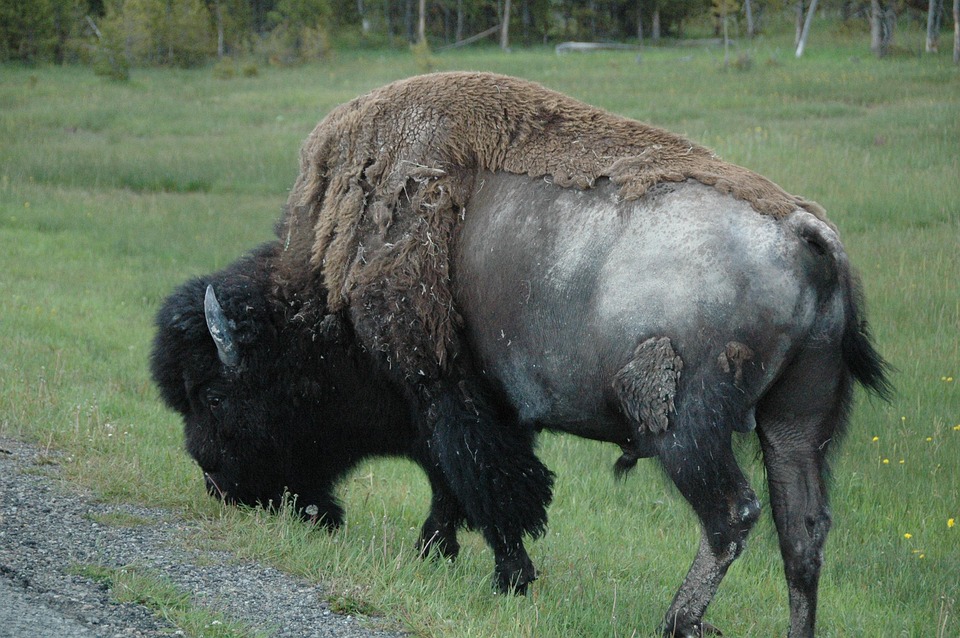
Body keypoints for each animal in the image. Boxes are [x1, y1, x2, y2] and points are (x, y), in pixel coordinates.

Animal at [151, 73, 889, 637]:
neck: (334, 278)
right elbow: (459, 483)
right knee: (802, 533)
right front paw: (440, 555)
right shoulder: (487, 405)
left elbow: (482, 484)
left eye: (214, 393)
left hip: (684, 427)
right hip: (797, 425)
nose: (213, 476)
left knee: (731, 515)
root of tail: (806, 233)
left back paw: (676, 620)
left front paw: (505, 577)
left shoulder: (443, 390)